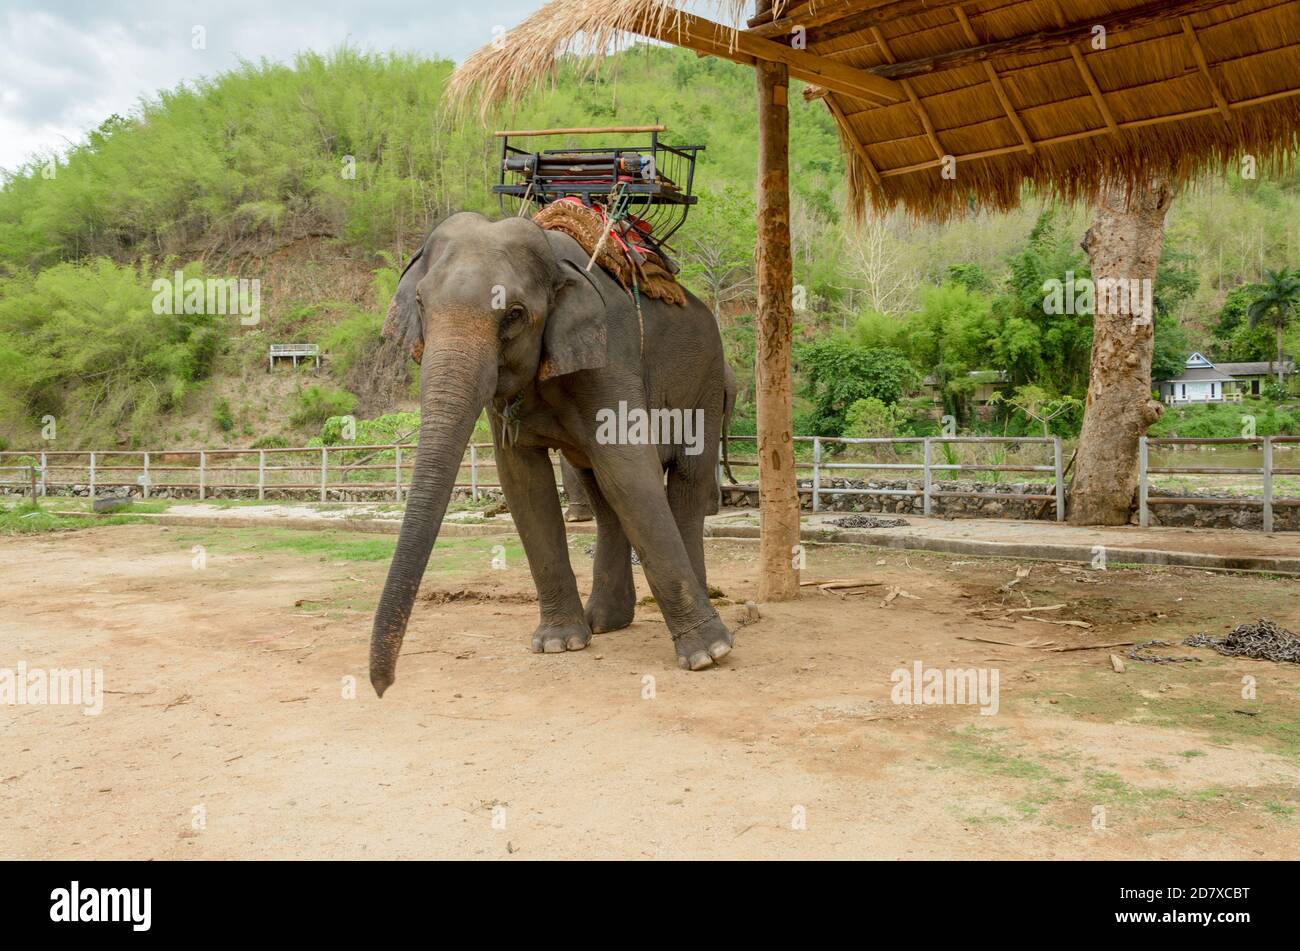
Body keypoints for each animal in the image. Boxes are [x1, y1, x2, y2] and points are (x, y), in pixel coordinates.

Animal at [369, 211, 738, 696]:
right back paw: (604, 623)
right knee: (600, 490)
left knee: (686, 482)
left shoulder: (610, 354)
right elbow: (524, 482)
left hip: (706, 381)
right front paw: (559, 644)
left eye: (513, 314)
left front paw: (708, 655)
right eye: (421, 303)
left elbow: (629, 471)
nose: (382, 687)